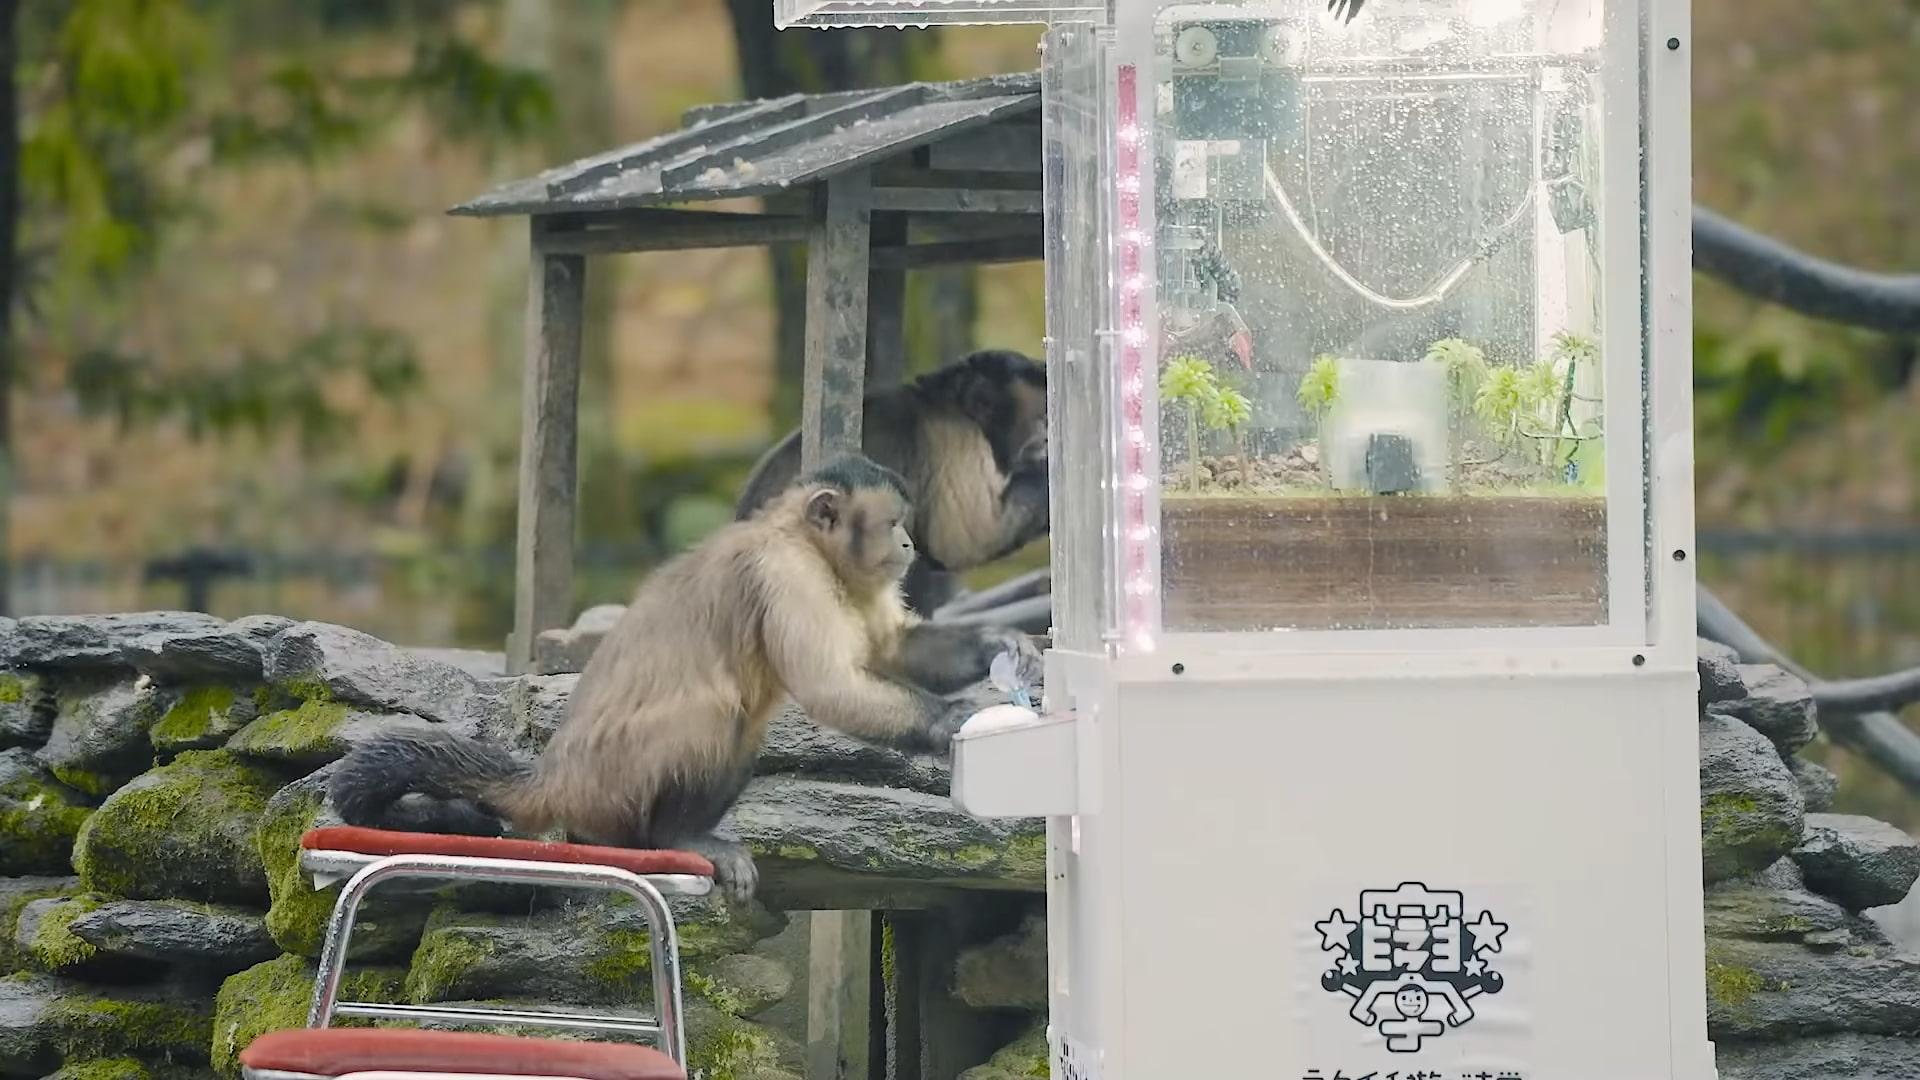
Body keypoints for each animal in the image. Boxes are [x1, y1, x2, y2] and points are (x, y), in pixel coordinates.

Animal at [328, 454, 1041, 905]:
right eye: (892, 522)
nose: (909, 547)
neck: (801, 541)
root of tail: (552, 777)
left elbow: (892, 649)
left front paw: (1000, 647)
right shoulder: (785, 573)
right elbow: (829, 685)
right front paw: (952, 723)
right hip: (609, 785)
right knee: (717, 714)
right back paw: (677, 839)